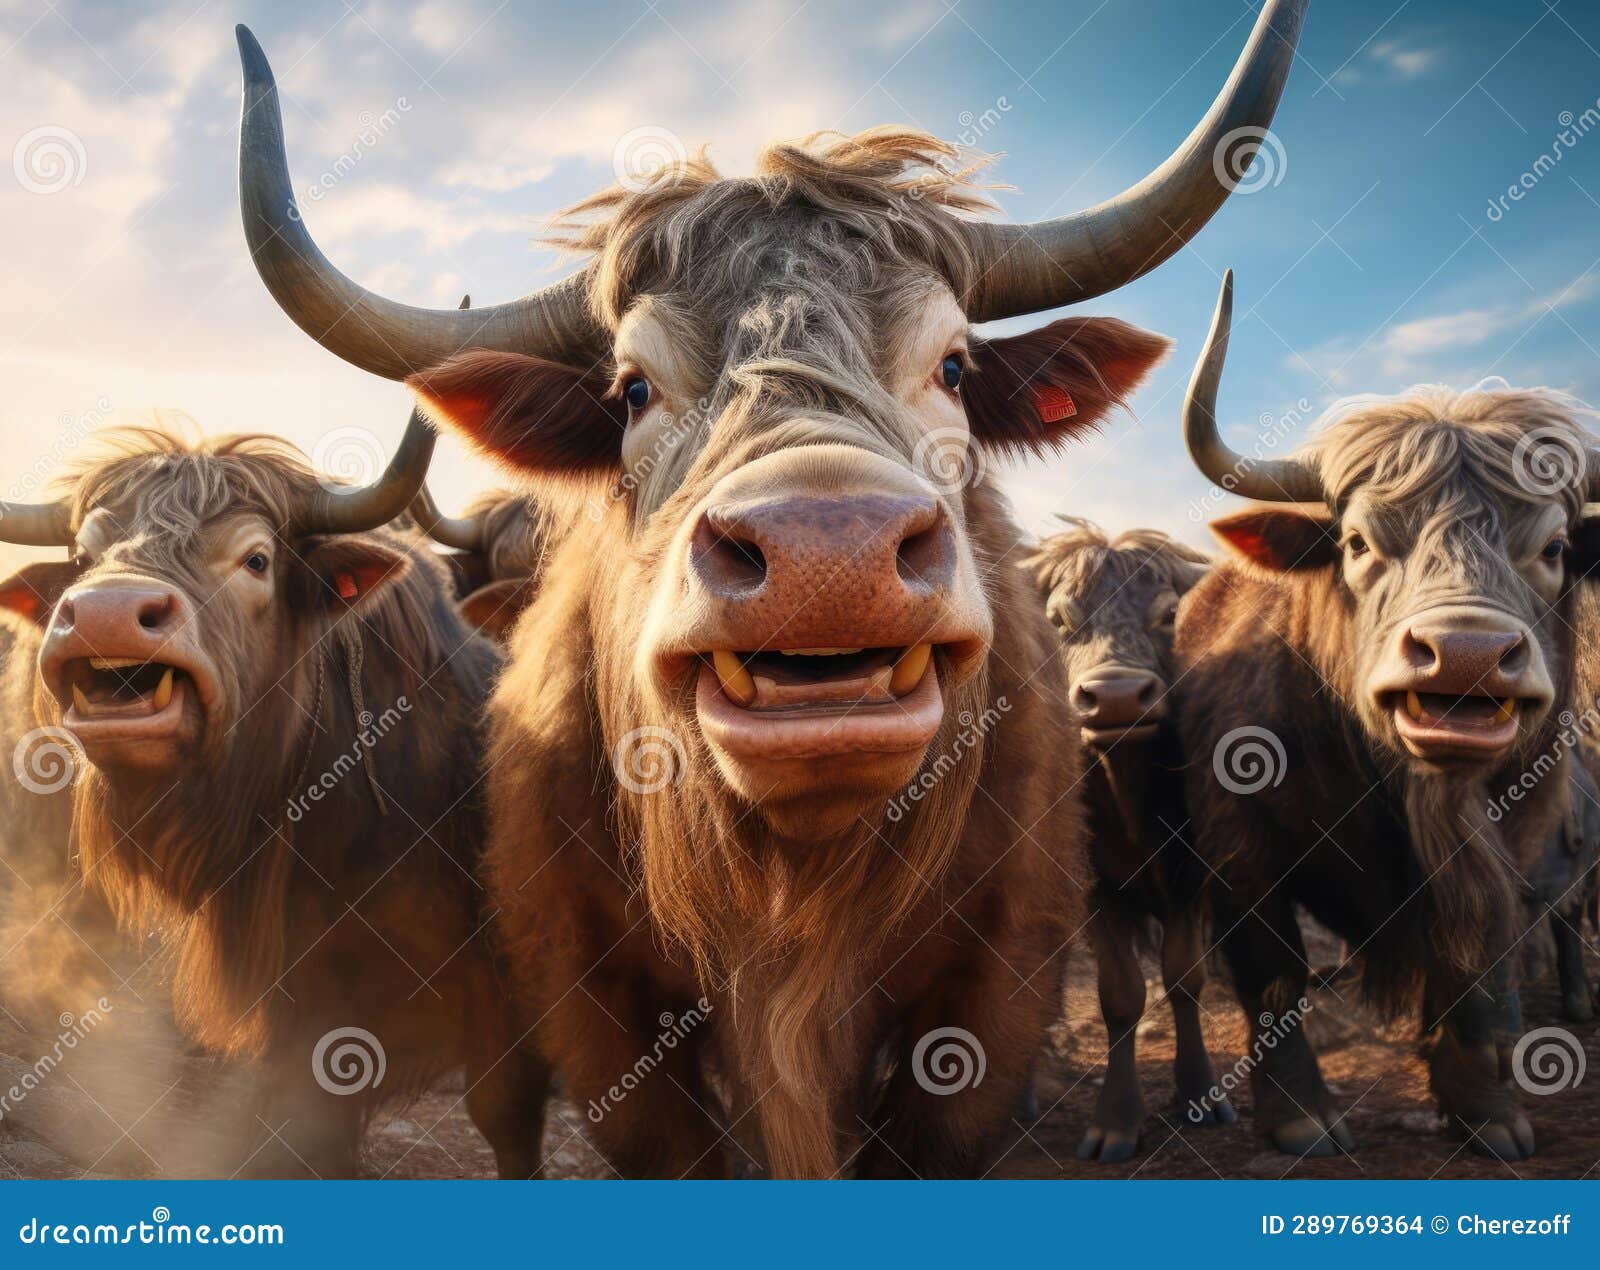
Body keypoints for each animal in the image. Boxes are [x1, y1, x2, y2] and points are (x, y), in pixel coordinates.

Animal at [0, 413, 547, 1177]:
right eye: (84, 557)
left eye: (256, 560)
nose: (107, 613)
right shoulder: (305, 1008)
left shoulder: (510, 1001)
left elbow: (506, 1113)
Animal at [1021, 520, 1225, 1161]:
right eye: (1060, 620)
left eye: (1168, 615)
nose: (1114, 695)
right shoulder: (1095, 892)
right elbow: (1120, 995)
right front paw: (1116, 1120)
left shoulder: (1192, 880)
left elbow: (1185, 980)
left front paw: (1198, 1091)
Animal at [1173, 269, 1599, 1162]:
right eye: (1360, 544)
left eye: (1551, 549)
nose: (1466, 656)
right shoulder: (1239, 848)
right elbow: (1274, 972)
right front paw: (1301, 1116)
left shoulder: (1513, 844)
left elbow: (1475, 971)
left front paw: (1486, 1113)